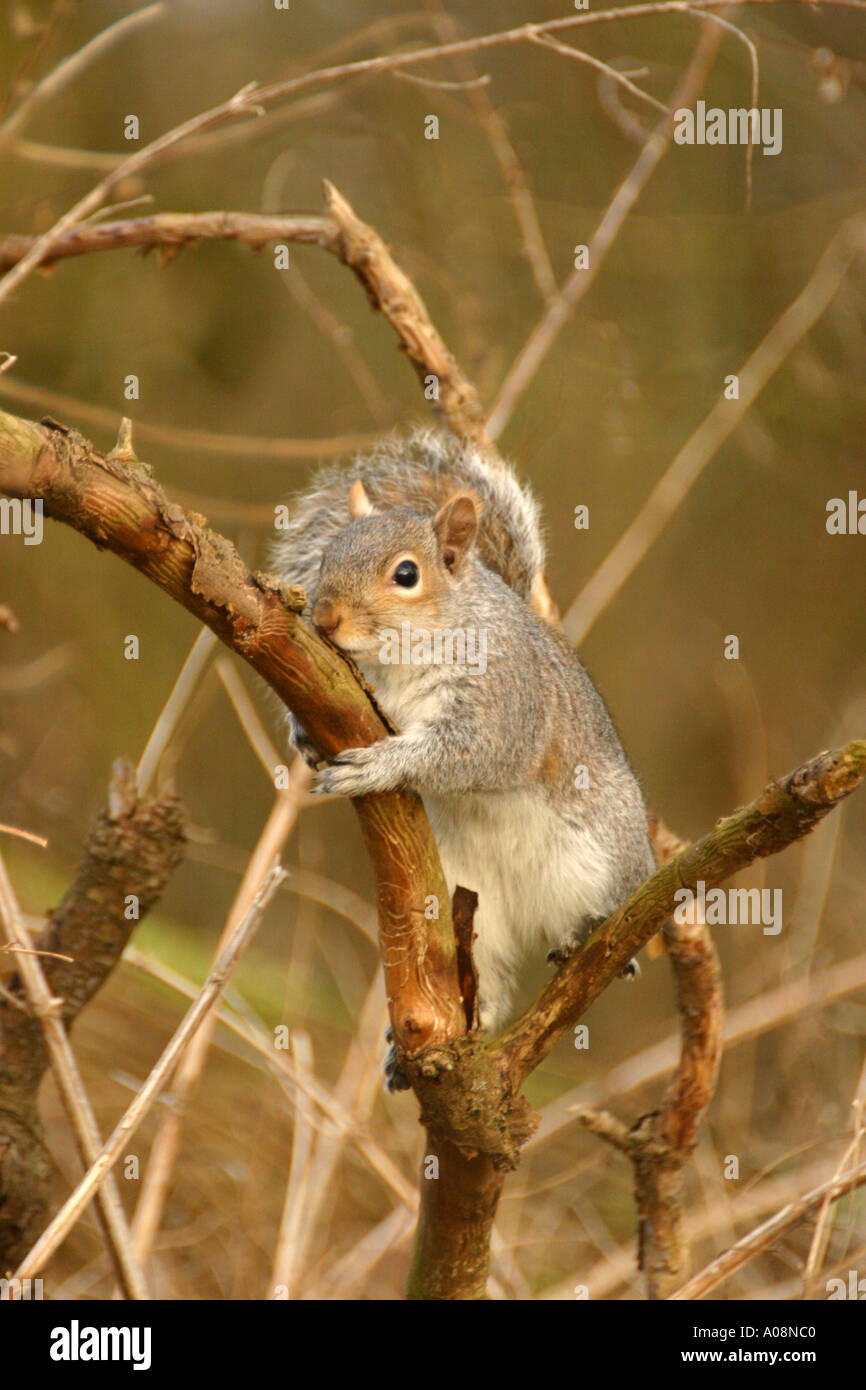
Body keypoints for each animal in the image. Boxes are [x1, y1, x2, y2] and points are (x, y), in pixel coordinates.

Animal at [272, 429, 656, 1083]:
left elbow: (468, 752)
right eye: (325, 558)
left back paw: (594, 932)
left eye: (406, 574)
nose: (323, 619)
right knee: (482, 980)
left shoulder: (505, 703)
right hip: (469, 909)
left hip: (611, 853)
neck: (408, 651)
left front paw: (381, 765)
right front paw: (304, 733)